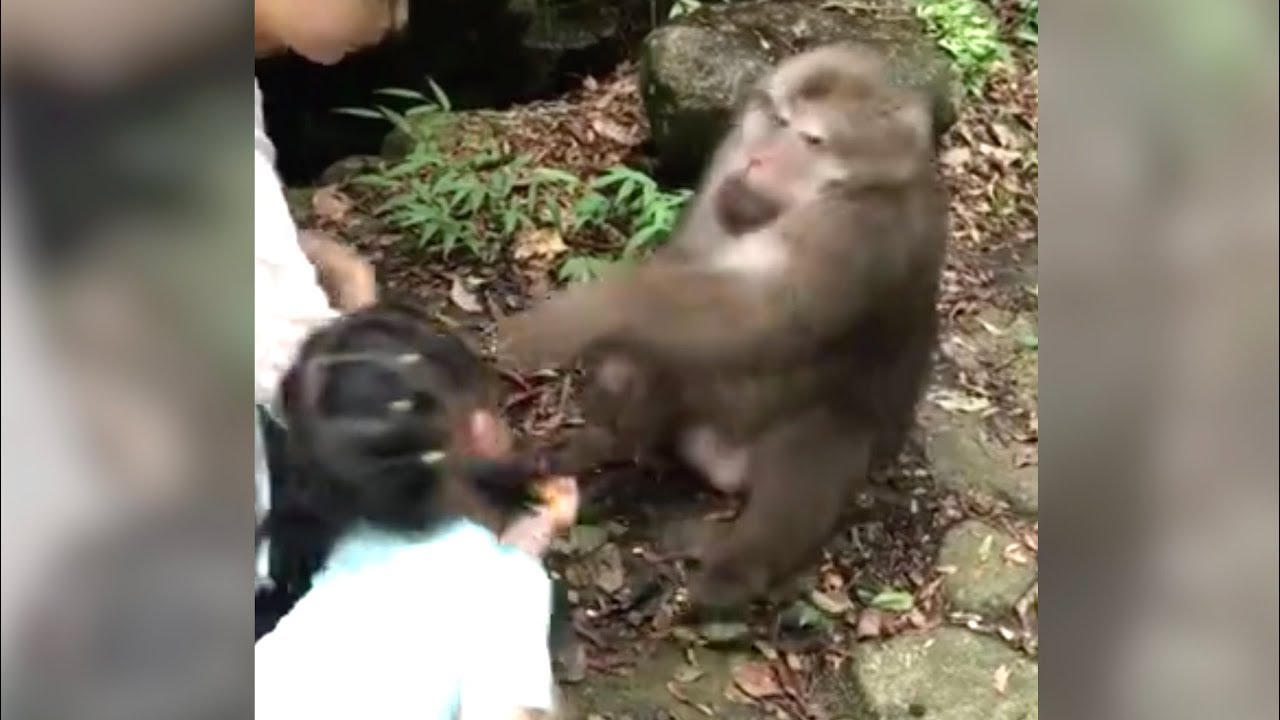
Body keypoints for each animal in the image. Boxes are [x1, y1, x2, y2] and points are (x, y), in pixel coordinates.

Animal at [496, 43, 947, 611]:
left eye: (811, 139)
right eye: (778, 121)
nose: (759, 160)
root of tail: (722, 468)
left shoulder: (857, 233)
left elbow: (764, 317)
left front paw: (578, 317)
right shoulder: (730, 159)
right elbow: (689, 269)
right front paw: (609, 370)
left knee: (814, 442)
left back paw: (732, 578)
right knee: (670, 361)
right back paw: (599, 449)